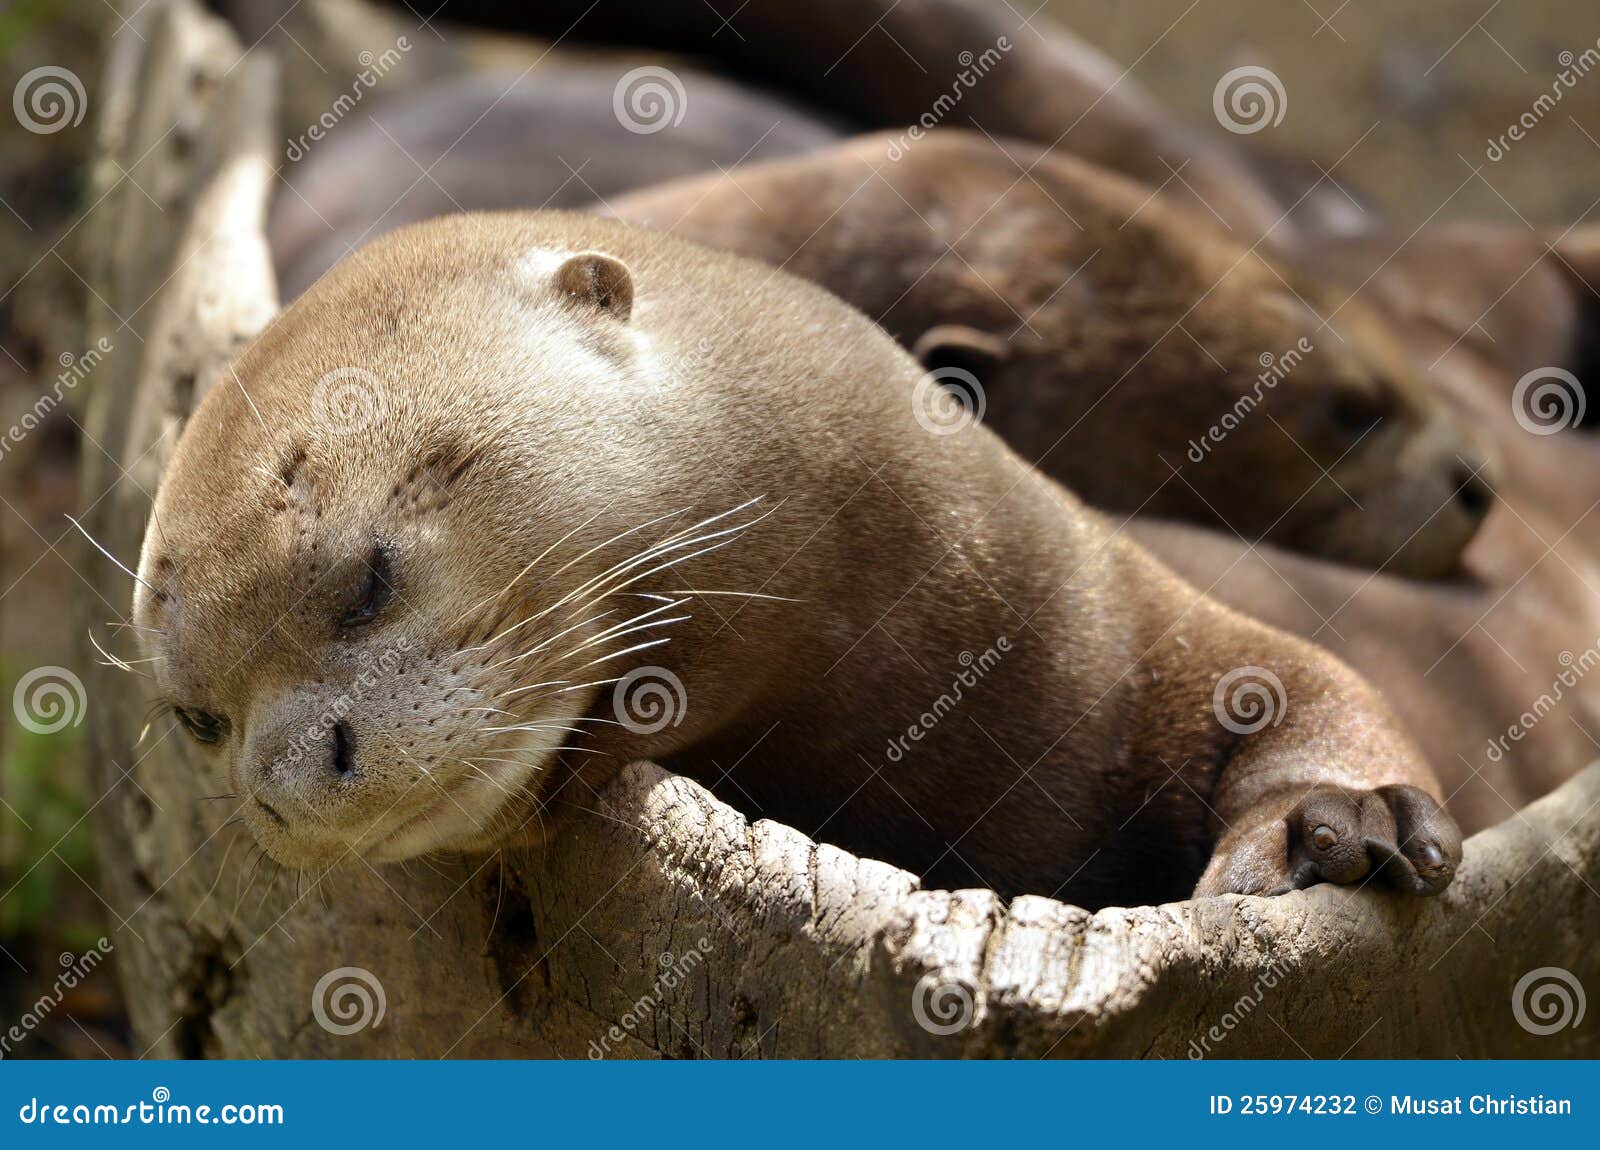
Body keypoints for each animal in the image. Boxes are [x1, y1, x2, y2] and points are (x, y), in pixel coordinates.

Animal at [133, 212, 1459, 907]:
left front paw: (1338, 823)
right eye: (198, 717)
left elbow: (1306, 683)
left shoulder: (1124, 619)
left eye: (365, 577)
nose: (291, 787)